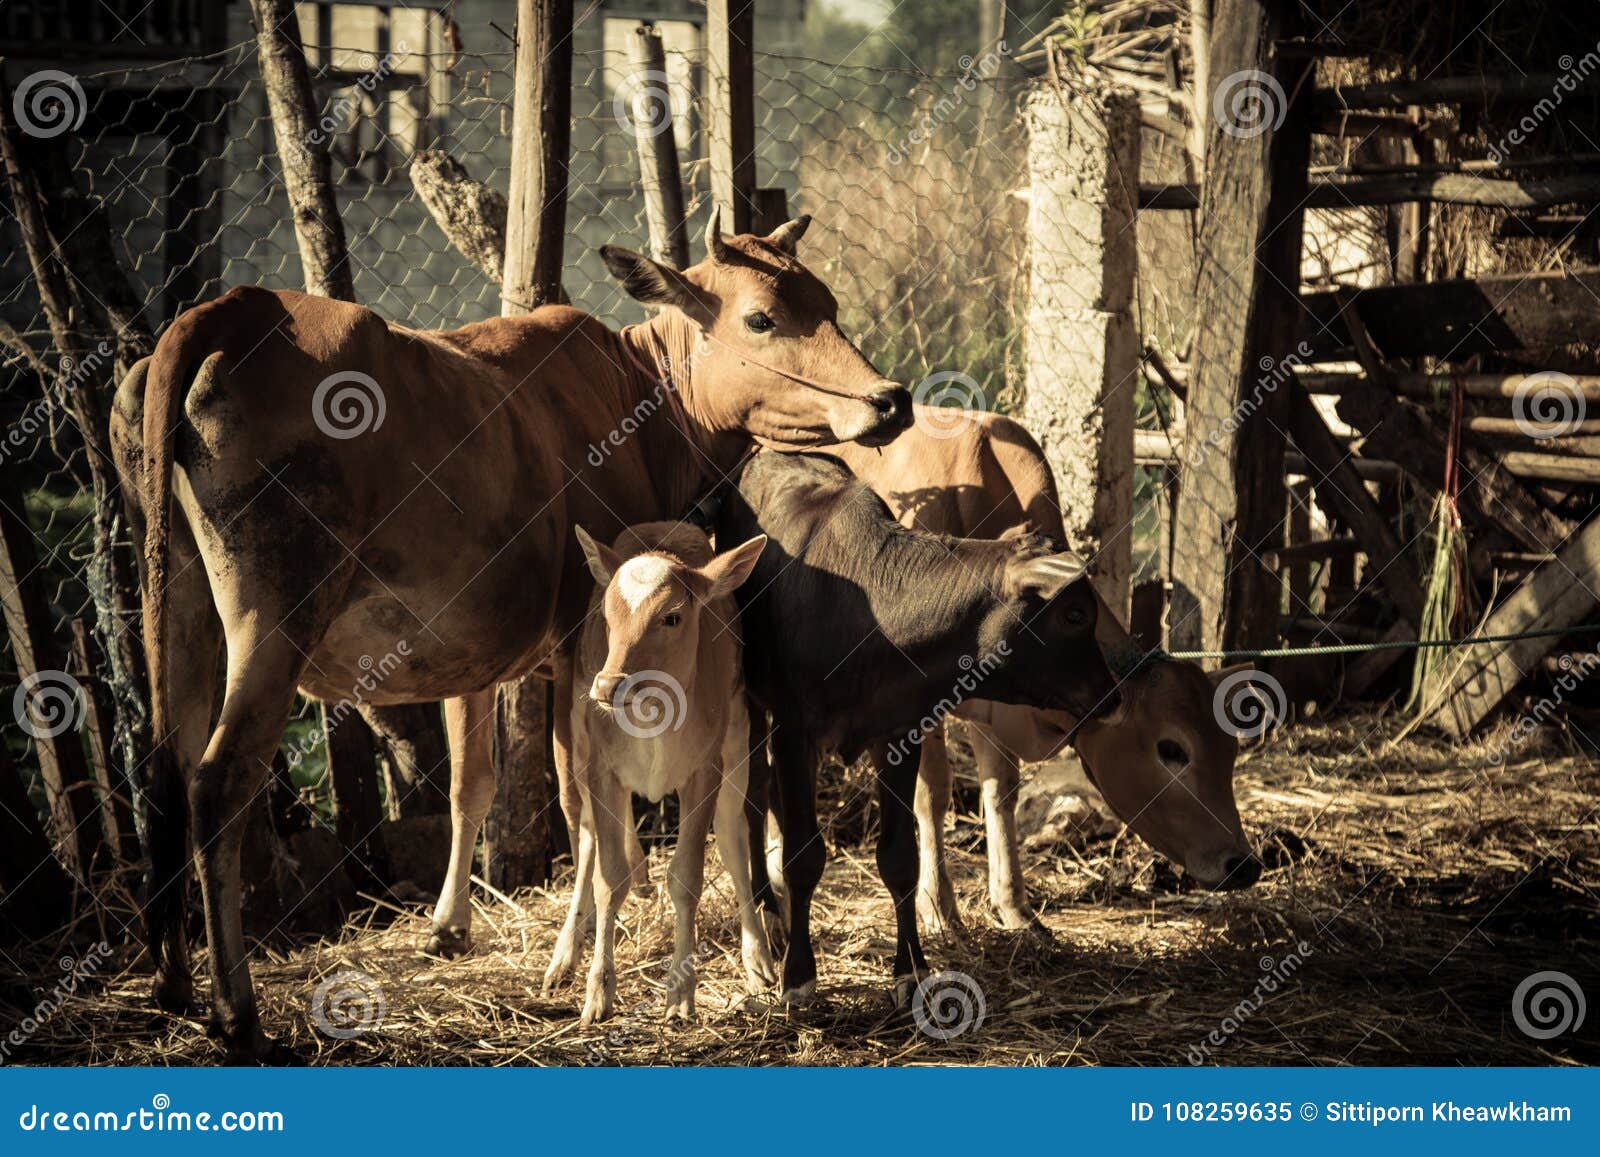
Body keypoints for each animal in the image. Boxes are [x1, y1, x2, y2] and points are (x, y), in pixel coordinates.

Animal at [550, 522, 774, 1025]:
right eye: (606, 615)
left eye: (672, 617)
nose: (608, 685)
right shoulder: (602, 768)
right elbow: (608, 877)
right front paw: (598, 992)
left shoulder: (706, 768)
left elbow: (687, 878)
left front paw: (680, 995)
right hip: (578, 741)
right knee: (586, 832)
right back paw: (564, 953)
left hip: (738, 743)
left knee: (732, 835)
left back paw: (759, 959)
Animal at [717, 450, 1122, 1005]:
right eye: (1076, 614)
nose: (1112, 694)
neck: (870, 611)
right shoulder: (795, 731)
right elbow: (804, 856)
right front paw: (798, 976)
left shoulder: (899, 735)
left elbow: (900, 857)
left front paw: (910, 967)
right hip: (754, 705)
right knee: (755, 796)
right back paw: (767, 911)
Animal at [821, 407, 1261, 933]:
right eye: (1171, 749)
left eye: (1231, 749)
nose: (1244, 864)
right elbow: (932, 795)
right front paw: (938, 907)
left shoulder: (995, 704)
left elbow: (1001, 793)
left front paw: (1014, 906)